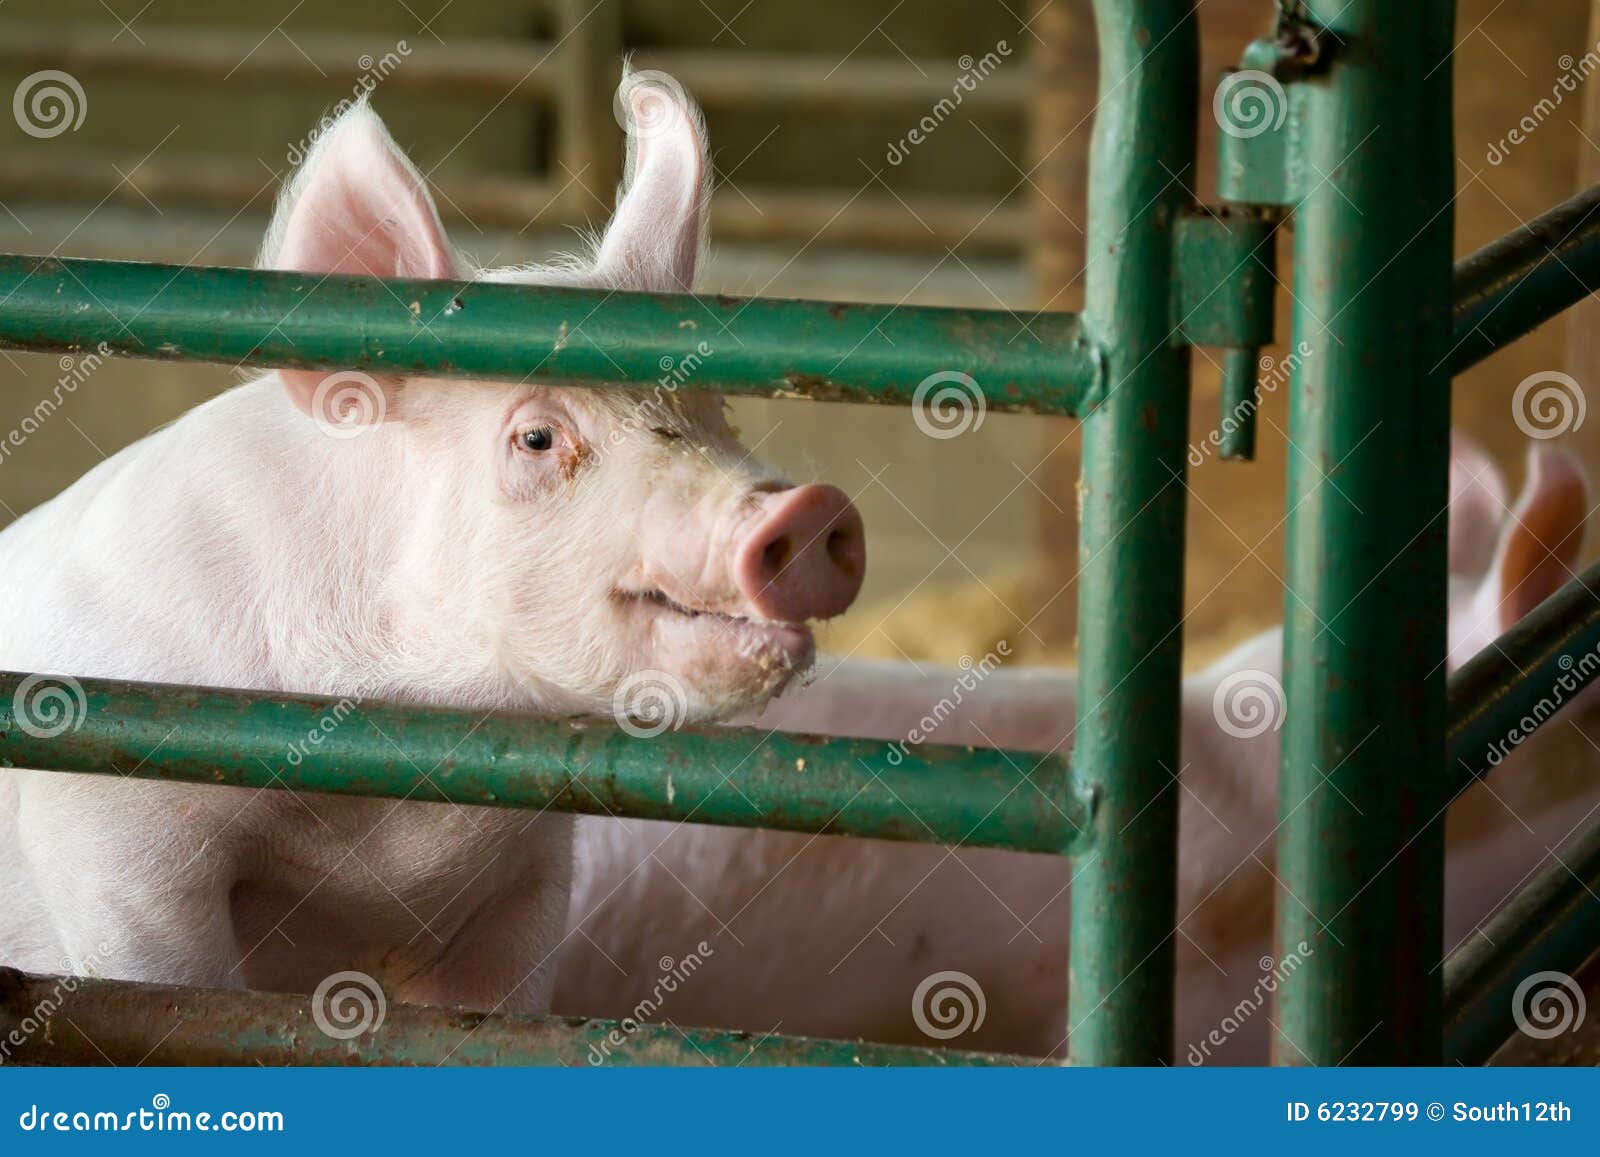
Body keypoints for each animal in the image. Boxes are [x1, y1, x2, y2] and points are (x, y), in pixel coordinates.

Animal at [0, 73, 864, 1013]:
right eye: (537, 438)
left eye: (718, 410)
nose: (809, 507)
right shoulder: (111, 826)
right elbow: (162, 984)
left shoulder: (526, 878)